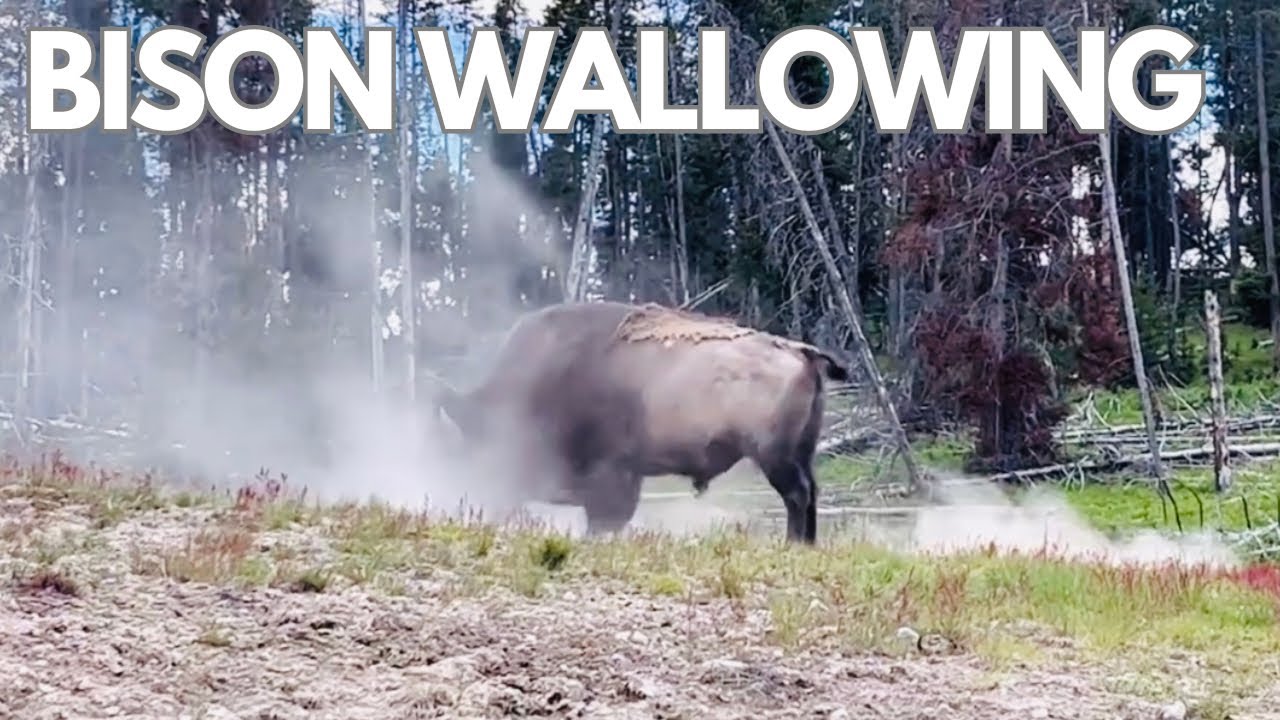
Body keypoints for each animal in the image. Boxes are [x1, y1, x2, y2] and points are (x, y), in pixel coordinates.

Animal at [431, 301, 850, 544]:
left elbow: (606, 515)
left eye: (478, 438)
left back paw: (792, 545)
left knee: (797, 494)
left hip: (775, 457)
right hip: (801, 454)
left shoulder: (610, 471)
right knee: (811, 492)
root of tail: (803, 351)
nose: (483, 492)